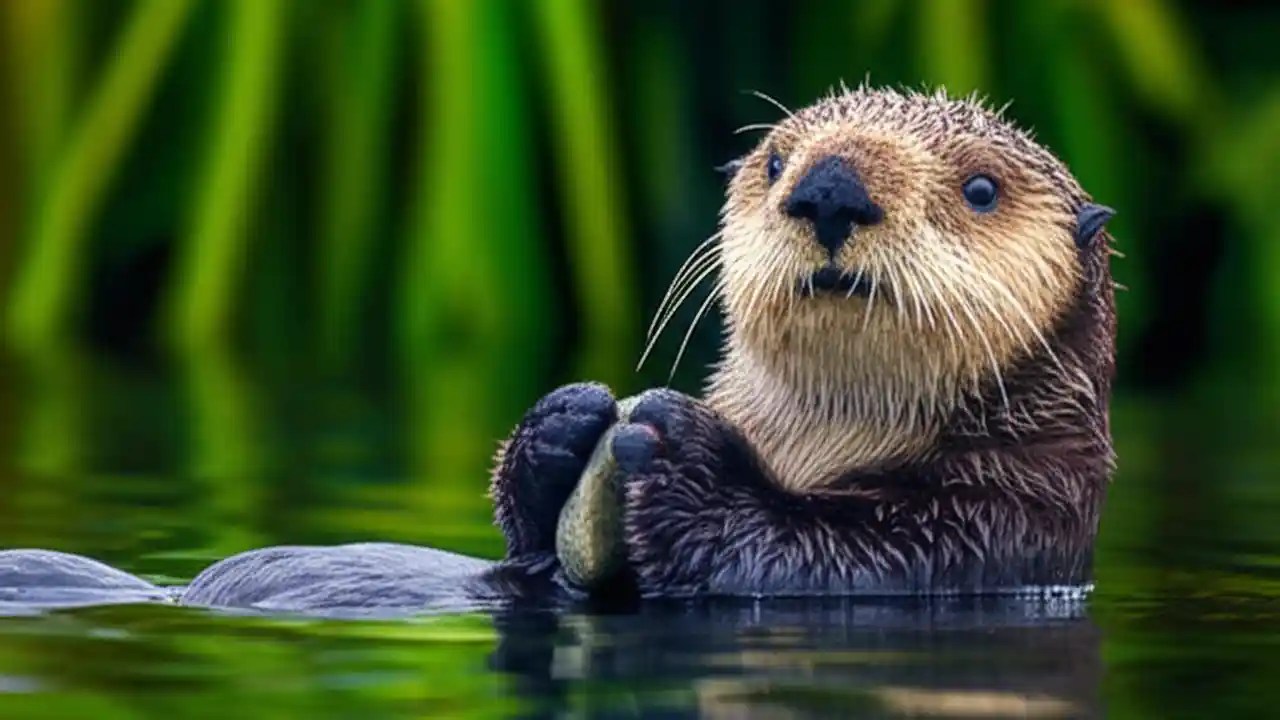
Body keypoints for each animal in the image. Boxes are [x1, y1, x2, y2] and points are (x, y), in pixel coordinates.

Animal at [0, 85, 1116, 613]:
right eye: (772, 160)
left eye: (980, 188)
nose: (828, 186)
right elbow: (530, 546)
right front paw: (562, 422)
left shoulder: (993, 531)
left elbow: (800, 555)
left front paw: (680, 452)